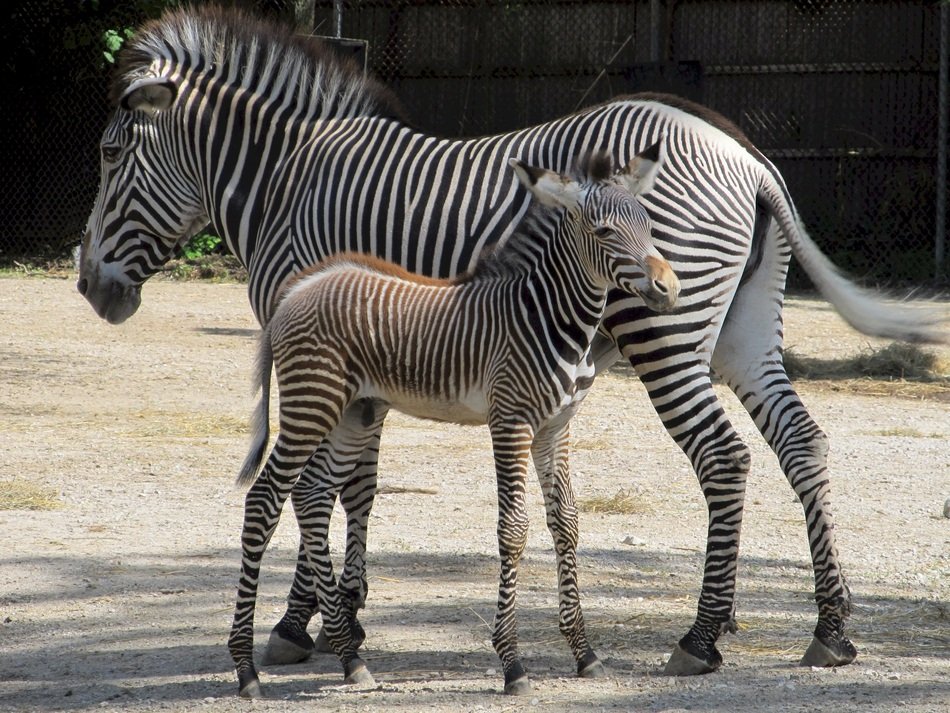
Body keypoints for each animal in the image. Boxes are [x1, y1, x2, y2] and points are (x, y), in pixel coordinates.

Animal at [229, 150, 679, 697]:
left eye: (650, 226)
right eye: (604, 231)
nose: (669, 289)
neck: (548, 317)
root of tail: (299, 288)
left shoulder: (556, 428)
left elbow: (567, 523)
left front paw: (584, 653)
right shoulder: (510, 421)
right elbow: (514, 528)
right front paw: (512, 663)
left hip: (354, 412)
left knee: (311, 496)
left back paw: (351, 659)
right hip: (311, 403)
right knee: (265, 498)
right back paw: (246, 670)